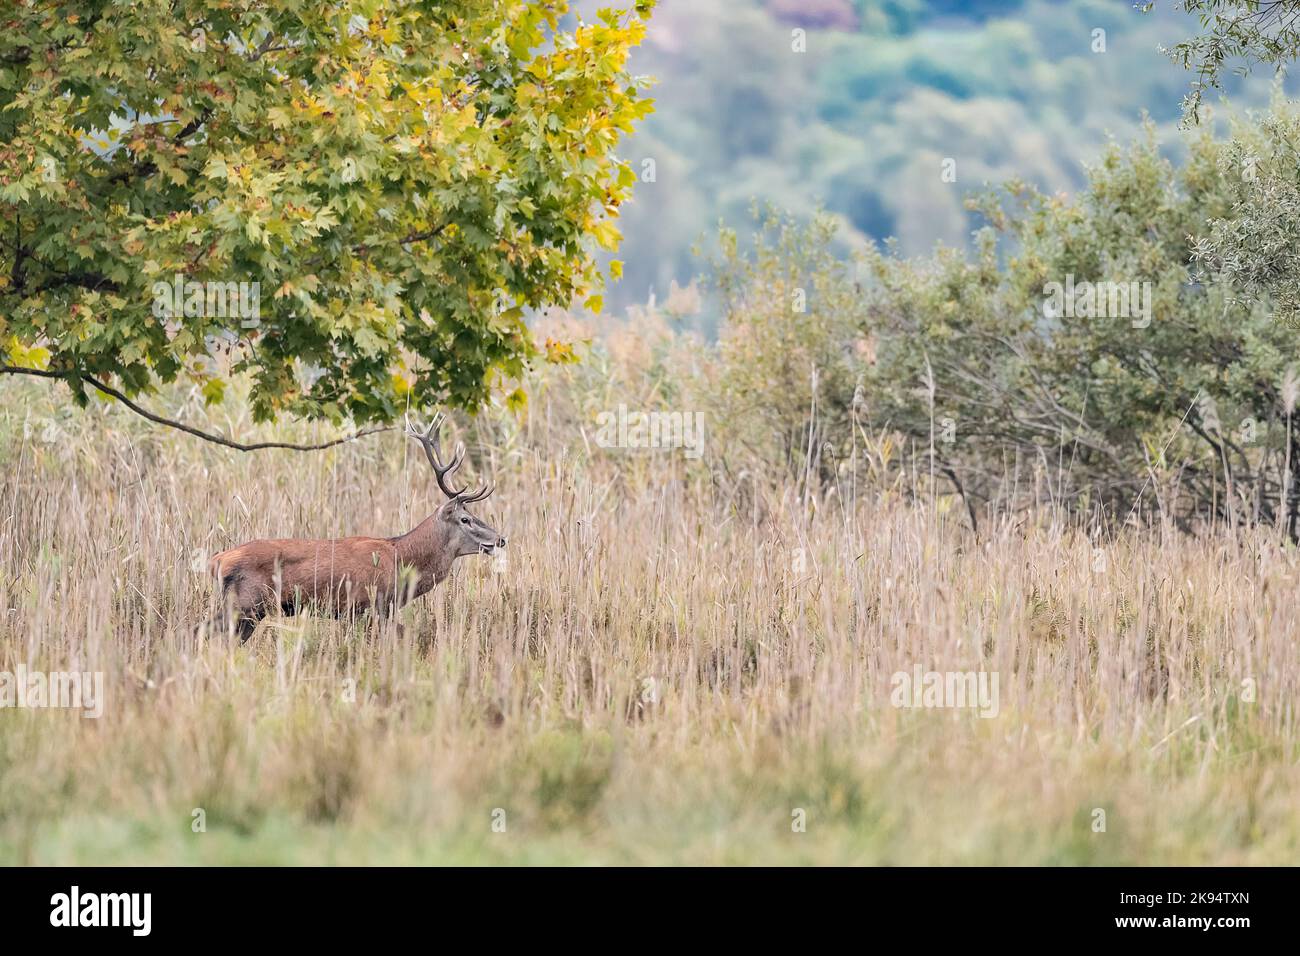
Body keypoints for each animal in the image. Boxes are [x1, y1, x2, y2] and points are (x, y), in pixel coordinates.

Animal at [205, 414, 506, 642]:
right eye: (465, 519)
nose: (501, 539)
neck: (402, 560)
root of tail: (217, 559)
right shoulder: (370, 603)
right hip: (246, 603)